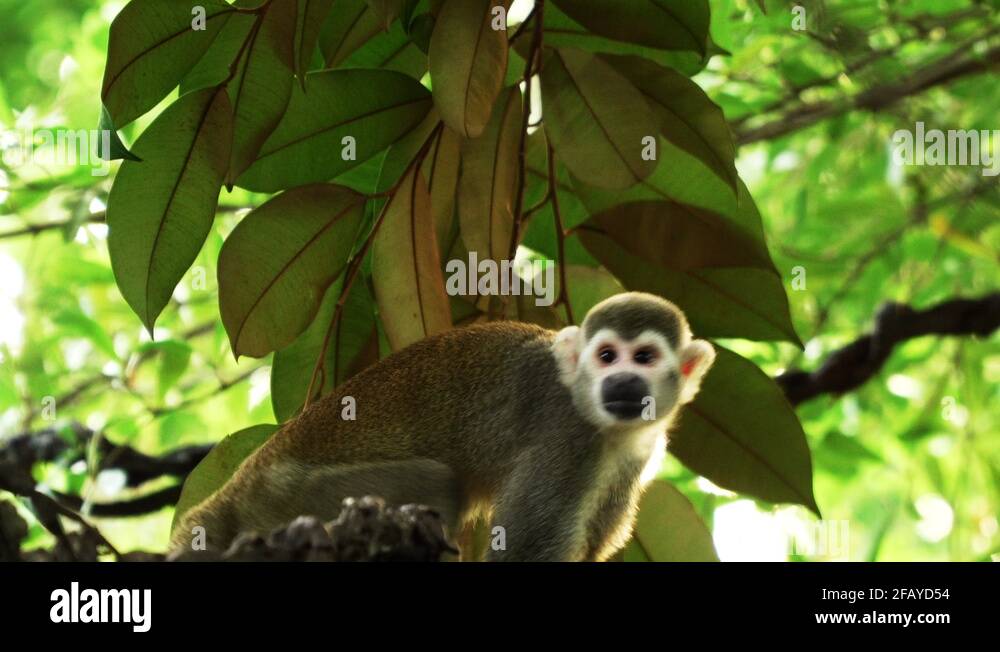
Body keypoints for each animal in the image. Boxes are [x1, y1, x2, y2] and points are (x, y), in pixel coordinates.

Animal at [170, 292, 715, 561]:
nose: (622, 381)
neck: (605, 427)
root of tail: (239, 487)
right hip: (294, 498)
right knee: (440, 485)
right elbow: (525, 551)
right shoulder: (565, 439)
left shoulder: (635, 456)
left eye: (643, 358)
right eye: (606, 357)